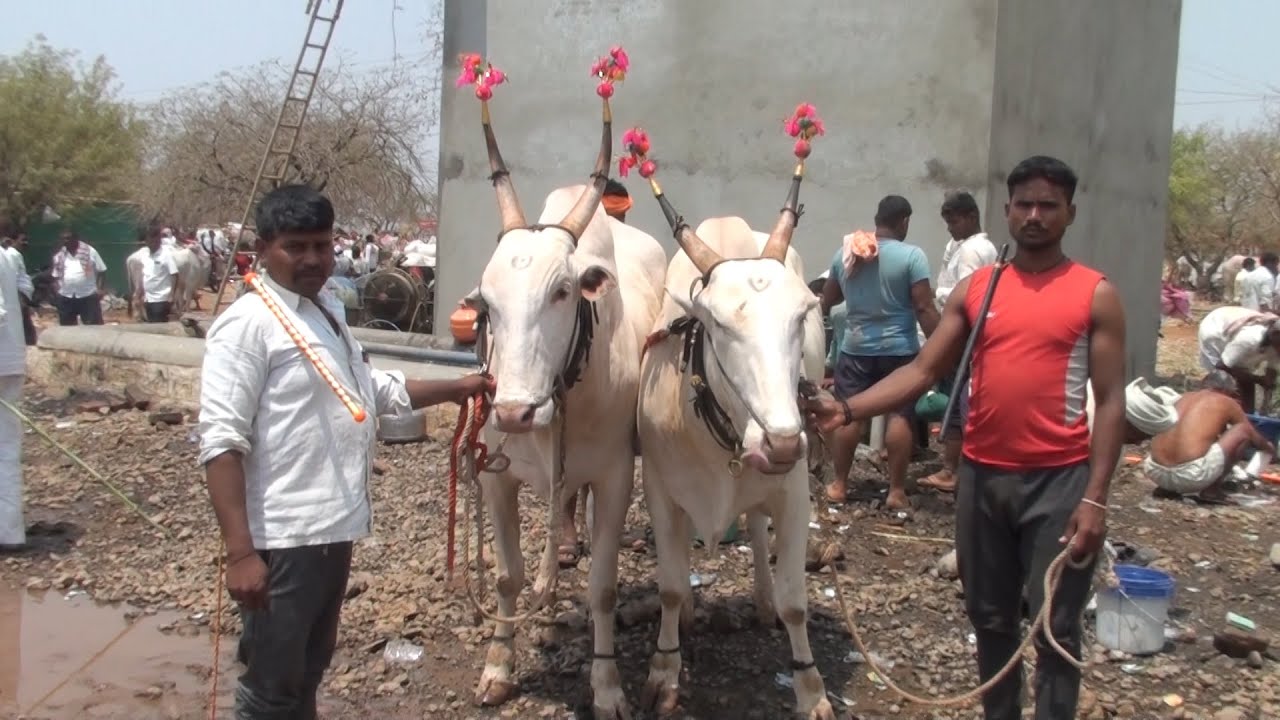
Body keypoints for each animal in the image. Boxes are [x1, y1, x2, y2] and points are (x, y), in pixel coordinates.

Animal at [457, 95, 666, 716]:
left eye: (562, 291)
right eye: (486, 302)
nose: (513, 412)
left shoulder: (616, 475)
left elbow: (603, 586)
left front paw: (607, 685)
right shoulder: (495, 475)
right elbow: (506, 576)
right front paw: (498, 667)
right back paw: (548, 587)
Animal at [634, 165, 835, 718]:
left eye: (801, 317)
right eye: (718, 324)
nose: (782, 442)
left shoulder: (794, 493)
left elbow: (796, 601)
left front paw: (811, 689)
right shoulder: (660, 490)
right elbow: (671, 587)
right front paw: (664, 668)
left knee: (759, 530)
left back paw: (763, 600)